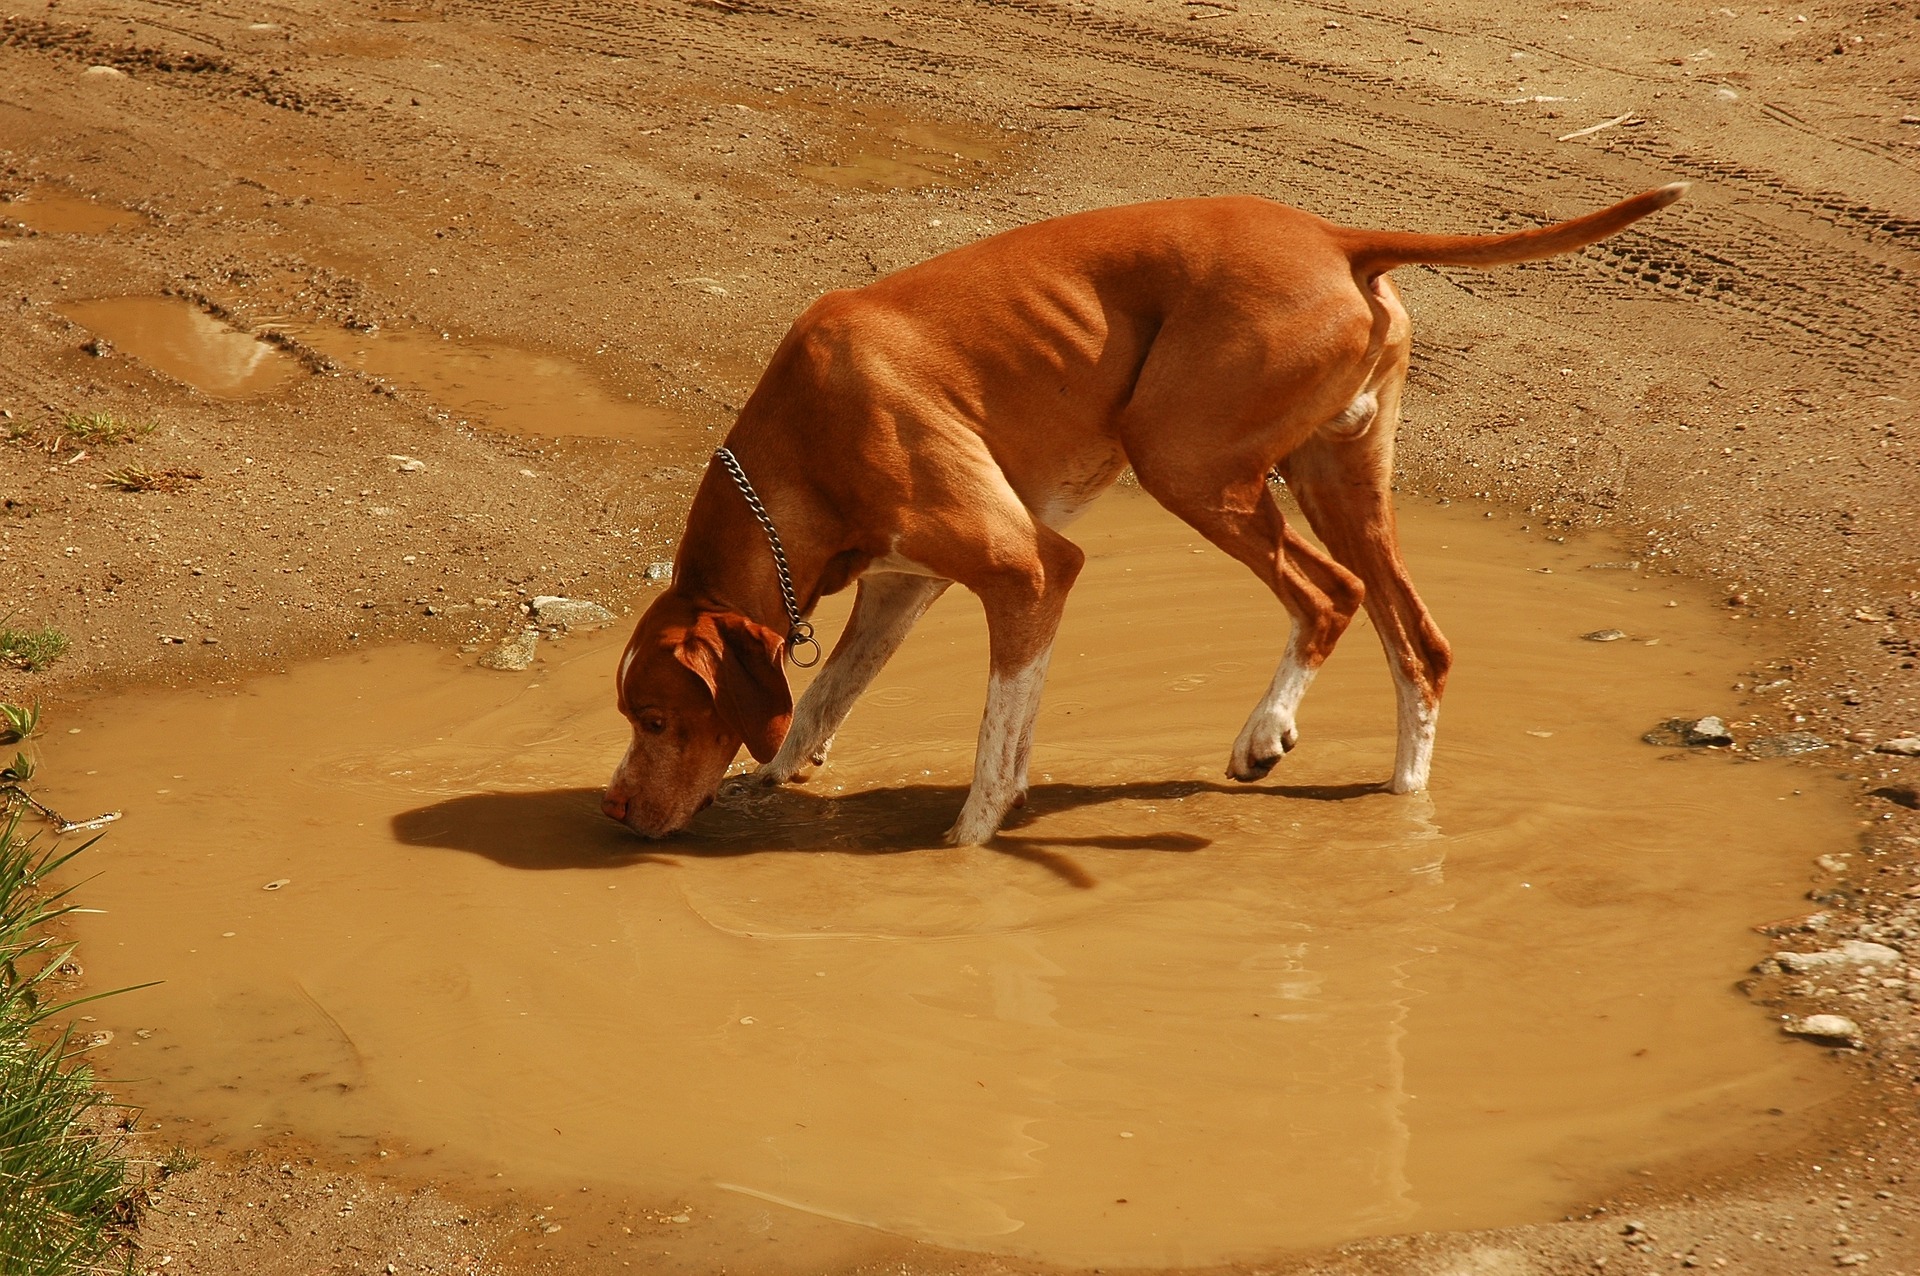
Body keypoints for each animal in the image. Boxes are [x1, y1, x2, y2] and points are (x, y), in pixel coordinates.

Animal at [599, 184, 1681, 840]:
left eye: (655, 717)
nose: (612, 809)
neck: (800, 442)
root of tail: (1334, 237)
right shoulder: (903, 590)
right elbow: (826, 695)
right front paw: (777, 773)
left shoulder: (1030, 568)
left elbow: (996, 742)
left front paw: (968, 842)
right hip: (1339, 483)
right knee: (1419, 640)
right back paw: (1402, 800)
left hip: (1186, 463)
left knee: (1327, 598)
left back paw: (1263, 733)